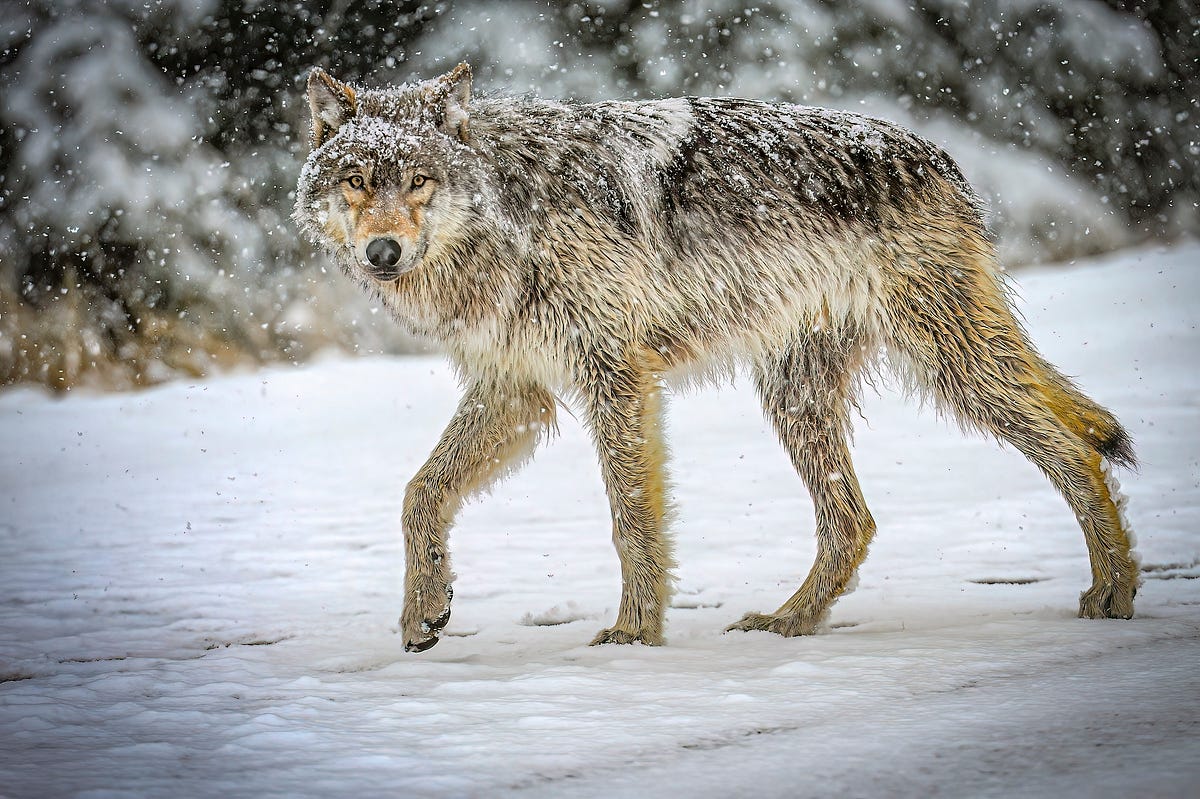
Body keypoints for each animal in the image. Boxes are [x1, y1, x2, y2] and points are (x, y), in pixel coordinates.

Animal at [294, 63, 1138, 652]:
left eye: (418, 181)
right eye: (356, 181)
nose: (382, 252)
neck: (510, 217)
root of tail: (942, 156)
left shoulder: (615, 377)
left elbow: (630, 519)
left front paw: (635, 633)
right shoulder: (517, 391)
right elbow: (418, 493)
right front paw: (423, 612)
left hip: (952, 369)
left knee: (1074, 455)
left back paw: (1113, 593)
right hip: (798, 395)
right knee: (853, 520)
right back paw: (790, 621)